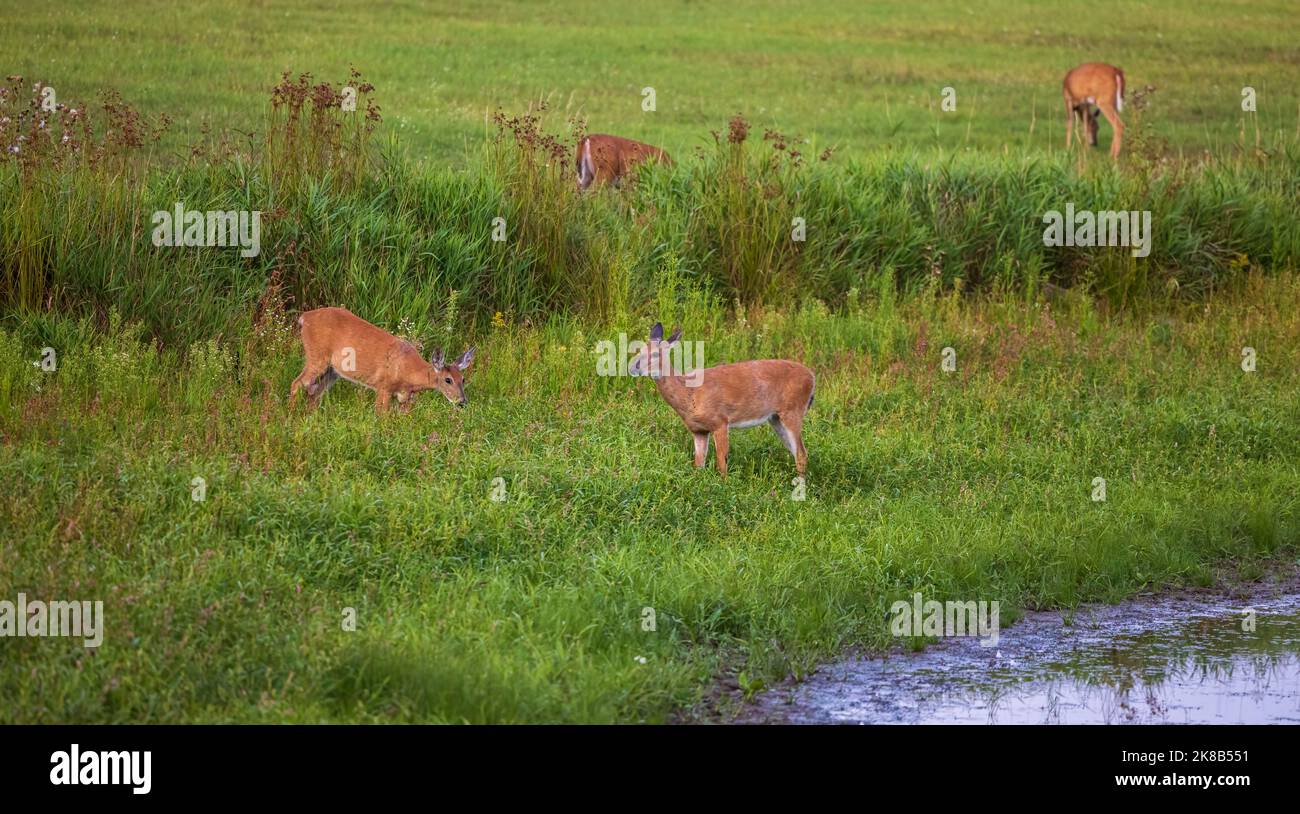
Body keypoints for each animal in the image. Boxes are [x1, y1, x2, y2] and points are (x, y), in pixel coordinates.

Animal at [289, 307, 475, 415]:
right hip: (316, 356)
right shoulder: (383, 387)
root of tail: (305, 317)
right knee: (297, 383)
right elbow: (381, 417)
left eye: (463, 379)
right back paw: (291, 416)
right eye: (448, 379)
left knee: (314, 394)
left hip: (333, 370)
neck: (409, 372)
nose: (462, 402)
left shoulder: (405, 398)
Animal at [628, 323, 815, 478]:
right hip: (775, 418)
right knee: (796, 451)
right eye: (639, 350)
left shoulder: (721, 421)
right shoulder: (699, 430)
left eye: (654, 354)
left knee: (802, 453)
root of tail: (812, 377)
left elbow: (722, 465)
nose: (632, 368)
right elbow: (698, 465)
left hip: (793, 410)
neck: (690, 393)